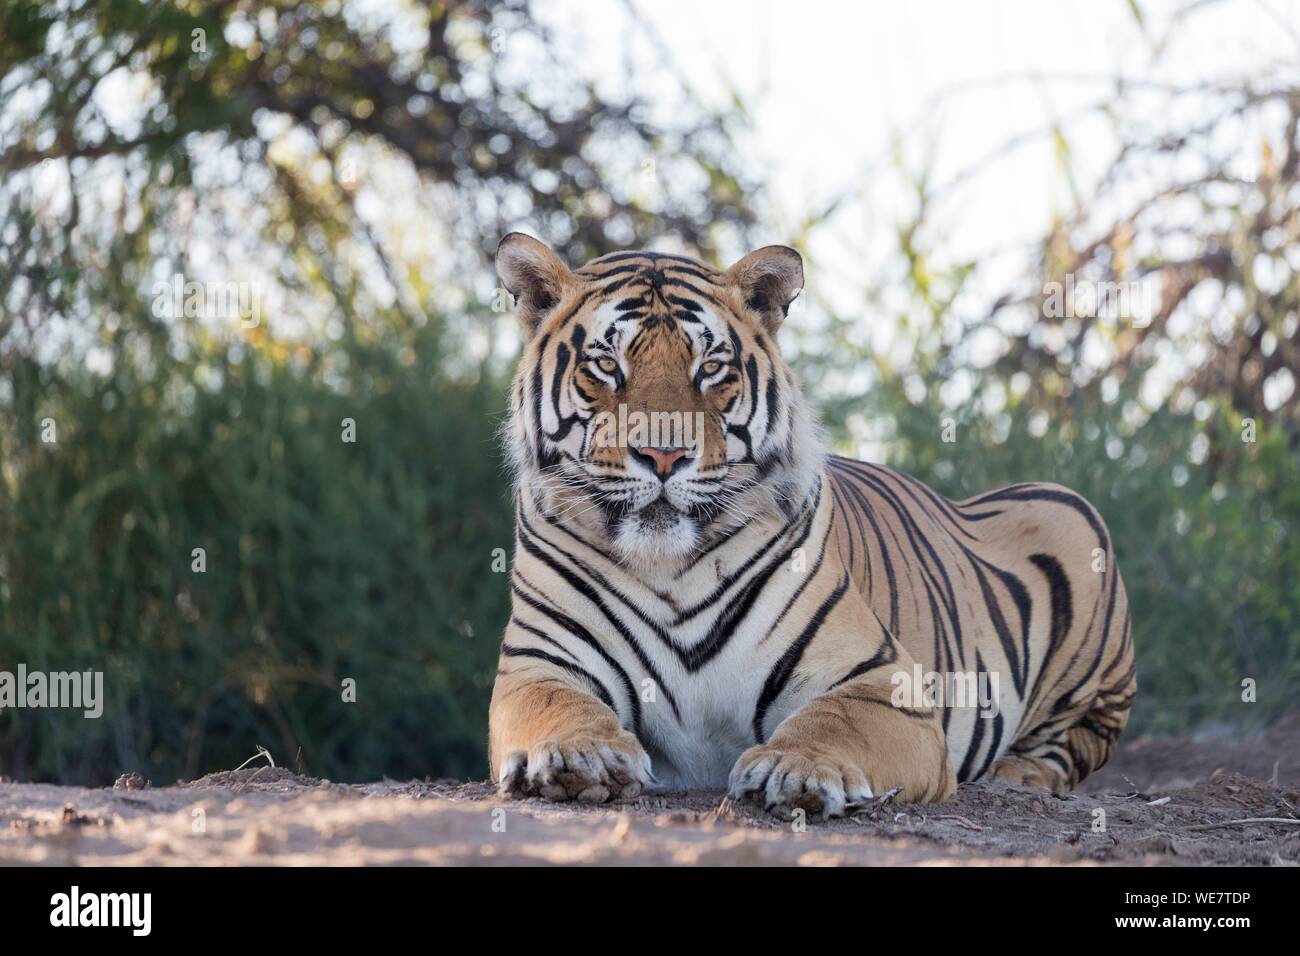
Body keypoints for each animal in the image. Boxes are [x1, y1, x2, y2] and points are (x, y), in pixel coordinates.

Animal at [487, 232, 1136, 818]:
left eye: (711, 368)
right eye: (606, 364)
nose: (665, 456)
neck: (669, 568)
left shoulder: (882, 682)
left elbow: (836, 721)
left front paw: (795, 767)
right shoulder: (537, 664)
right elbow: (556, 707)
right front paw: (580, 756)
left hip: (1072, 520)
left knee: (1071, 743)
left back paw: (1016, 777)